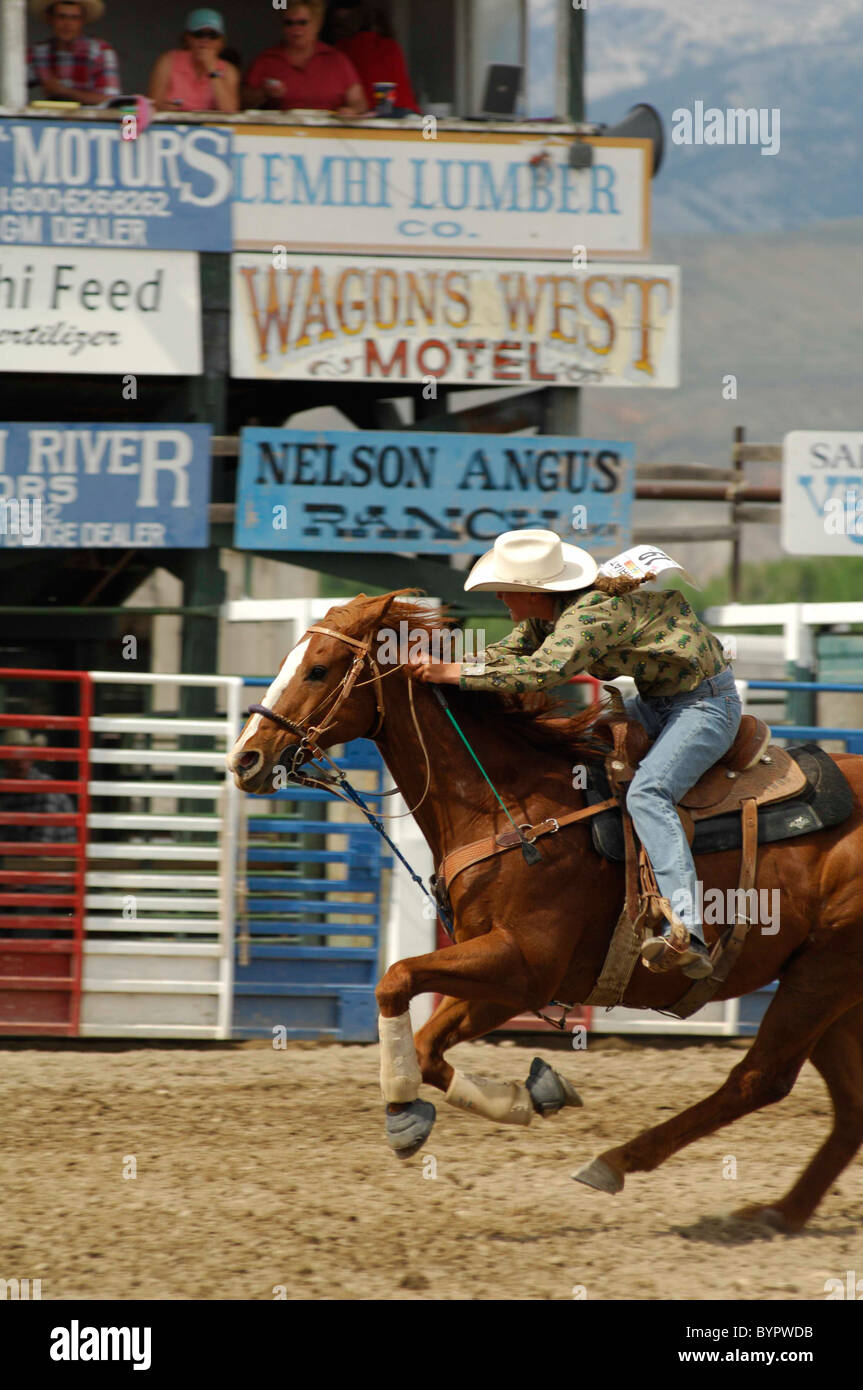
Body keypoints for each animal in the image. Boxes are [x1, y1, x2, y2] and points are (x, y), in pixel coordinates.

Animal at [226, 590, 863, 1231]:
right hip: (832, 994)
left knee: (760, 1078)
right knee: (845, 1106)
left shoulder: (525, 964)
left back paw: (617, 1163)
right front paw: (533, 1094)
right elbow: (430, 1046)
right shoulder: (506, 977)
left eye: (319, 668)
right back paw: (780, 1213)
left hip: (822, 974)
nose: (245, 758)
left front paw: (403, 1116)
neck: (510, 806)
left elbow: (395, 980)